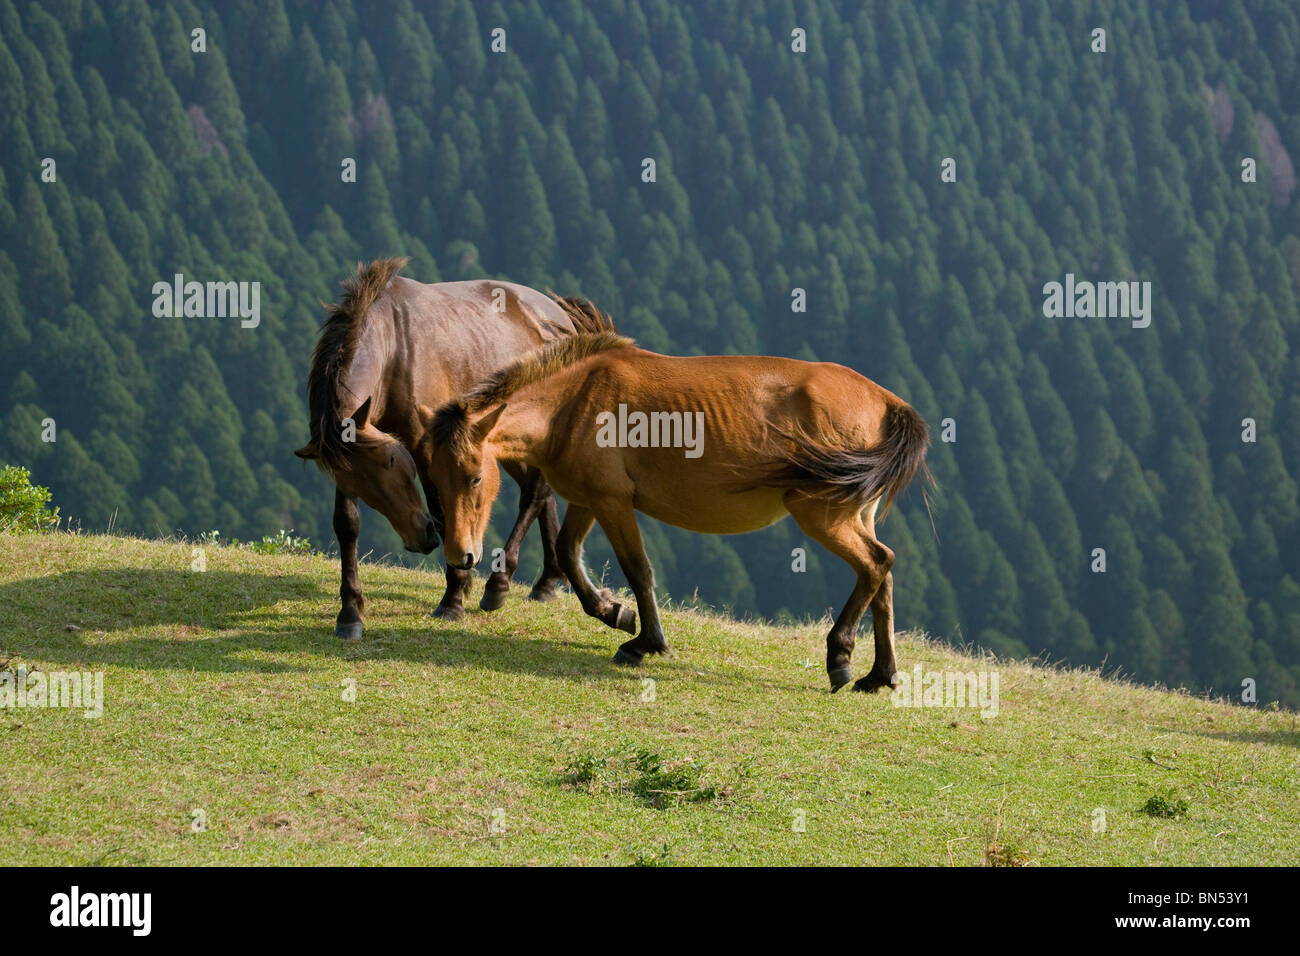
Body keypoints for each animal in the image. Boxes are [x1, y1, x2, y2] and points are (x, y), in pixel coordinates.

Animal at [294, 258, 608, 638]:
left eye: (394, 458)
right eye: (356, 482)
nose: (420, 537)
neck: (392, 347)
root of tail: (561, 318)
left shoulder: (427, 445)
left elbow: (444, 509)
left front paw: (454, 596)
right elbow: (347, 524)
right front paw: (350, 611)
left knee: (534, 493)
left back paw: (499, 584)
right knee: (541, 492)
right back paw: (546, 582)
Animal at [422, 301, 932, 693]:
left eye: (473, 479)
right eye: (435, 480)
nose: (462, 556)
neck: (575, 400)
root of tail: (886, 401)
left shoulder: (614, 503)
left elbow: (639, 570)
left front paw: (643, 642)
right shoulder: (589, 500)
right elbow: (568, 554)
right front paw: (614, 613)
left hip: (823, 515)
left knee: (876, 564)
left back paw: (840, 658)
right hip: (856, 513)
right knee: (882, 576)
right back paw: (879, 675)